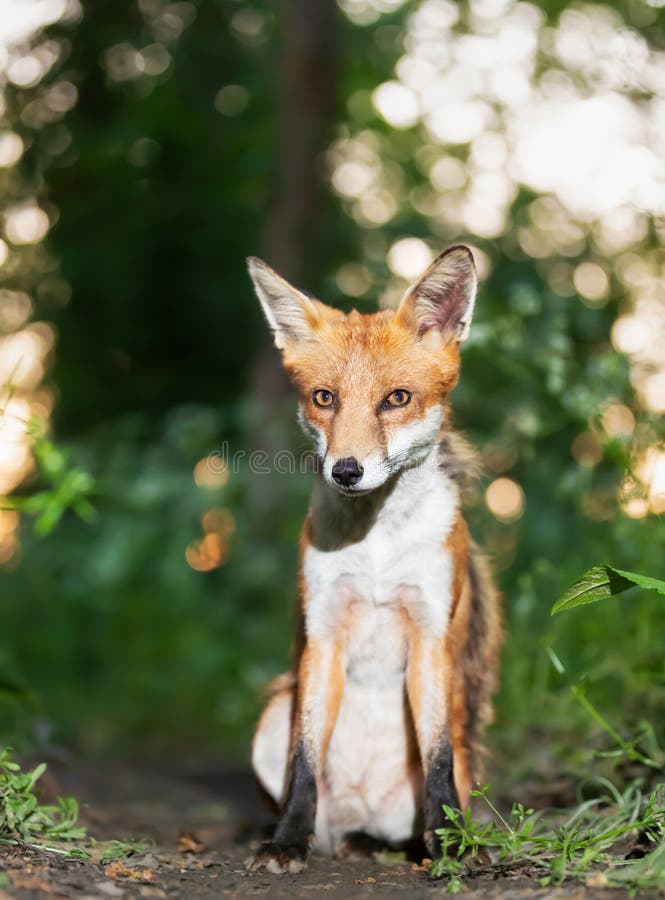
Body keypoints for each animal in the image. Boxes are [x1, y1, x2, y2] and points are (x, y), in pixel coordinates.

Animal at [245, 244, 502, 874]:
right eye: (325, 398)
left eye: (397, 399)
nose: (346, 470)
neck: (378, 551)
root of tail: (355, 816)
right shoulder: (323, 633)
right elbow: (304, 762)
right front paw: (287, 841)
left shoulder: (431, 634)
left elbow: (437, 764)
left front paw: (450, 846)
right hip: (273, 713)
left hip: (462, 758)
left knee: (415, 812)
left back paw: (407, 845)